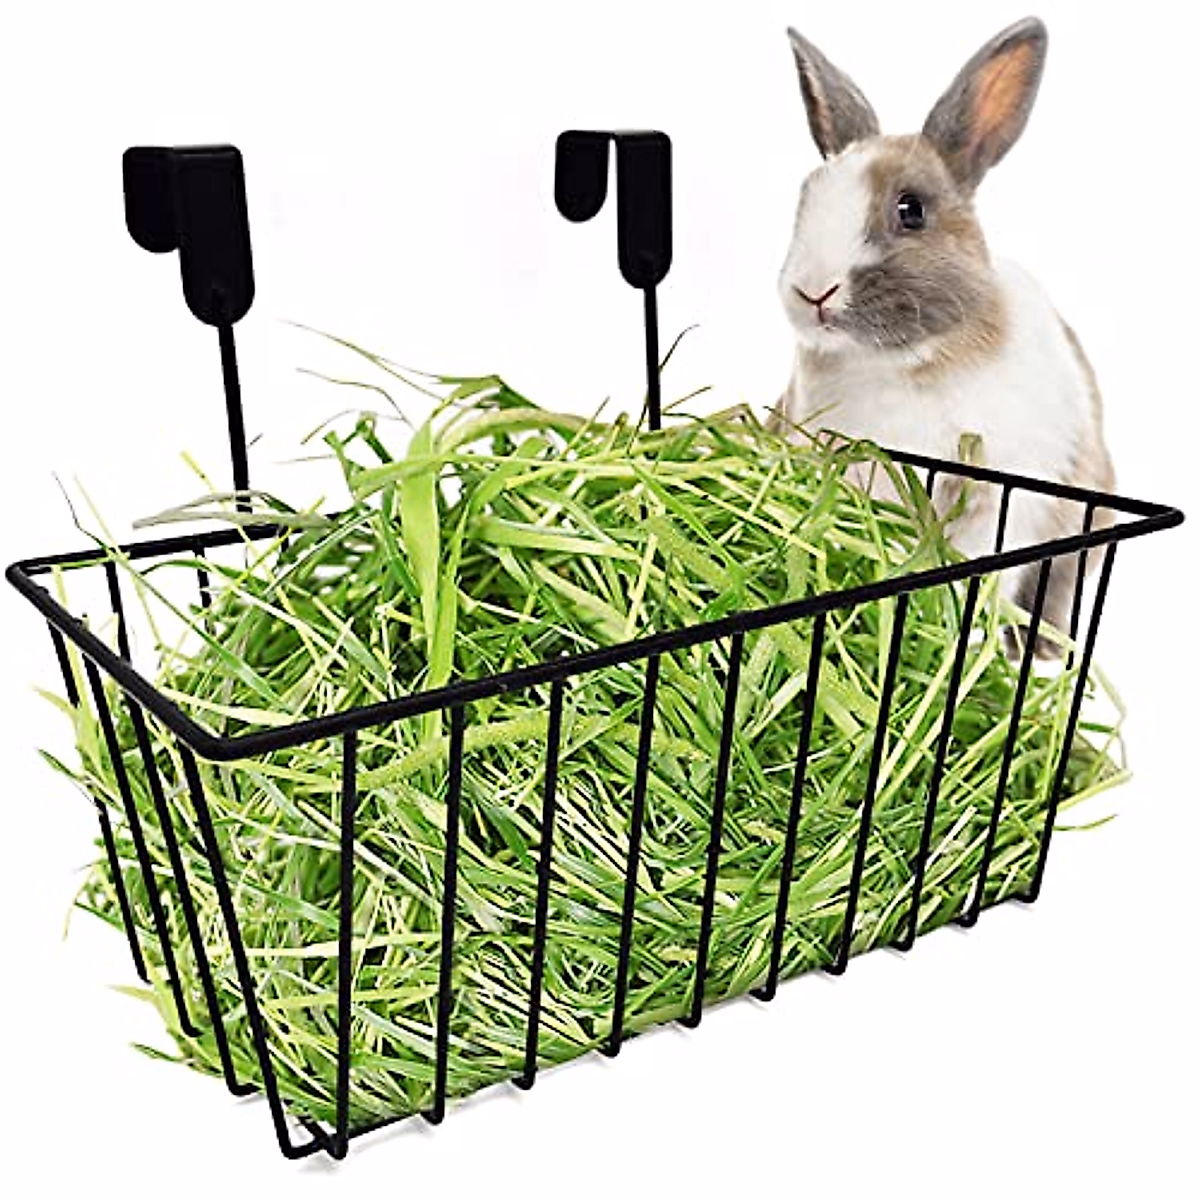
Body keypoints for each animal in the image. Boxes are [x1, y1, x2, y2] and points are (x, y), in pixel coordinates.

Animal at [770, 16, 1114, 656]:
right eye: (805, 200)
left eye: (911, 210)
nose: (813, 292)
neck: (900, 362)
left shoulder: (1003, 498)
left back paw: (1041, 651)